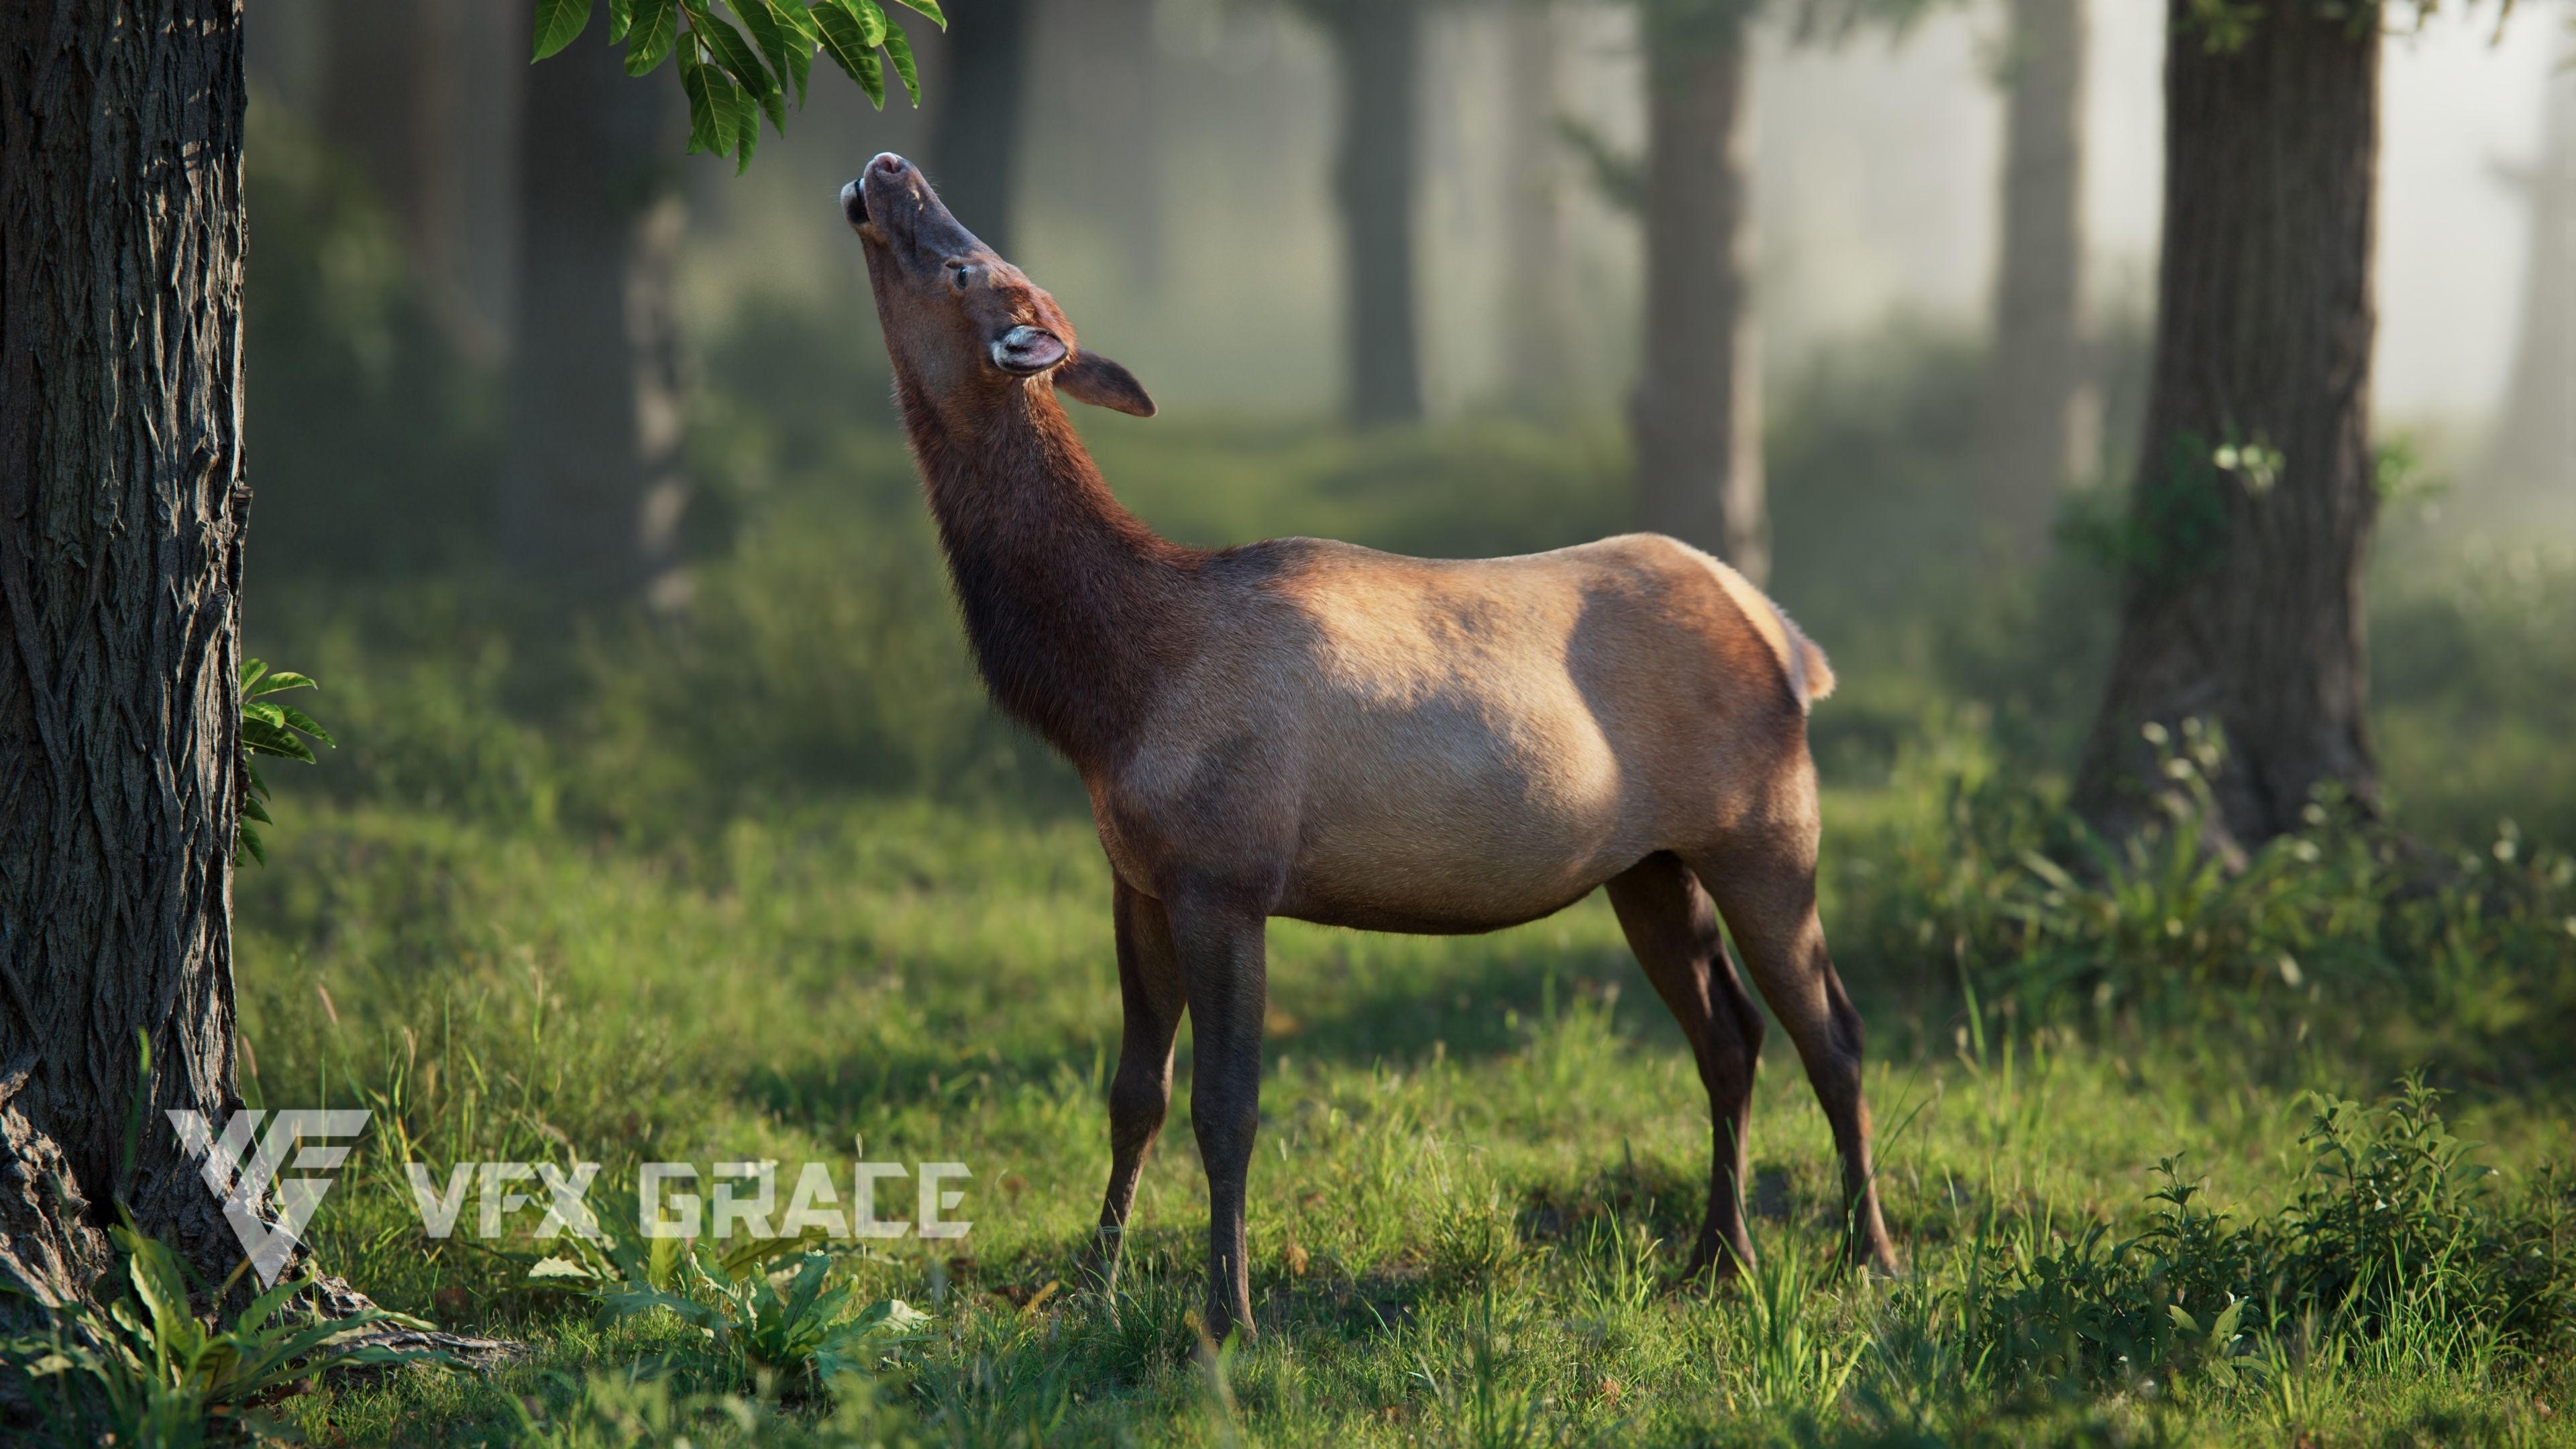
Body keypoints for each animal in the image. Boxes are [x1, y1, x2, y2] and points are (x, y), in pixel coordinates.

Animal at [841, 152, 1899, 1343]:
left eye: (966, 266)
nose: (888, 166)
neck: (1105, 694)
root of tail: (1791, 642)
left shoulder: (1228, 874)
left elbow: (1226, 1109)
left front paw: (1228, 1315)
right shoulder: (1138, 879)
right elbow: (1132, 1096)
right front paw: (1094, 1288)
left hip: (1768, 827)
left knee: (1834, 1031)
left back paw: (1867, 1254)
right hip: (1650, 865)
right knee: (1729, 1035)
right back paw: (1719, 1254)